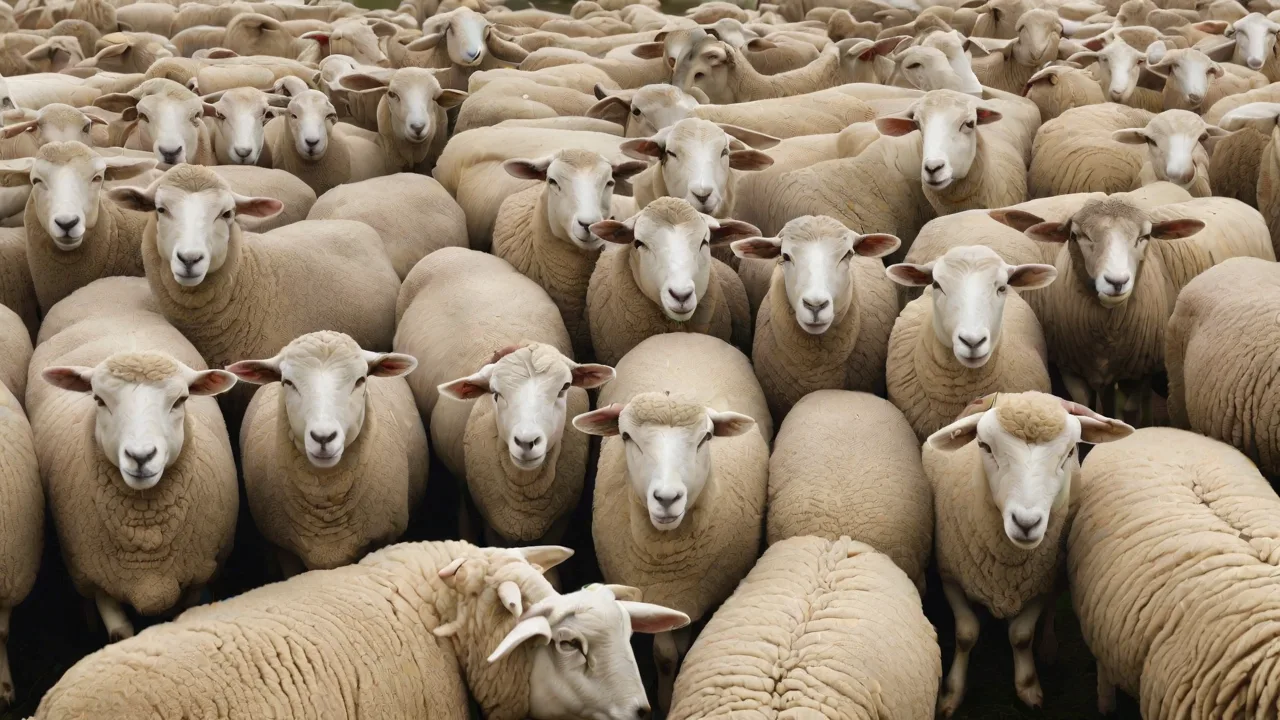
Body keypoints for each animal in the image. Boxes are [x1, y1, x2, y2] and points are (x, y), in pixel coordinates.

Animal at [30, 277, 239, 641]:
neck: (146, 538)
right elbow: (118, 634)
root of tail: (109, 282)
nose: (141, 457)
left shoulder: (198, 575)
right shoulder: (98, 579)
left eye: (181, 400)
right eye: (98, 399)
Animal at [573, 332, 771, 711]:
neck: (667, 564)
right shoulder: (658, 595)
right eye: (626, 437)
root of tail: (683, 334)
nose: (667, 498)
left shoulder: (692, 594)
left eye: (706, 437)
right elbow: (664, 654)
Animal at [924, 391, 1134, 716]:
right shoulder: (950, 577)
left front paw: (1028, 686)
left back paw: (1047, 648)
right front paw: (951, 693)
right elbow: (965, 634)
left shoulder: (1039, 582)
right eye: (984, 446)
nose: (1026, 523)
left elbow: (1022, 636)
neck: (1006, 566)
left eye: (1070, 451)